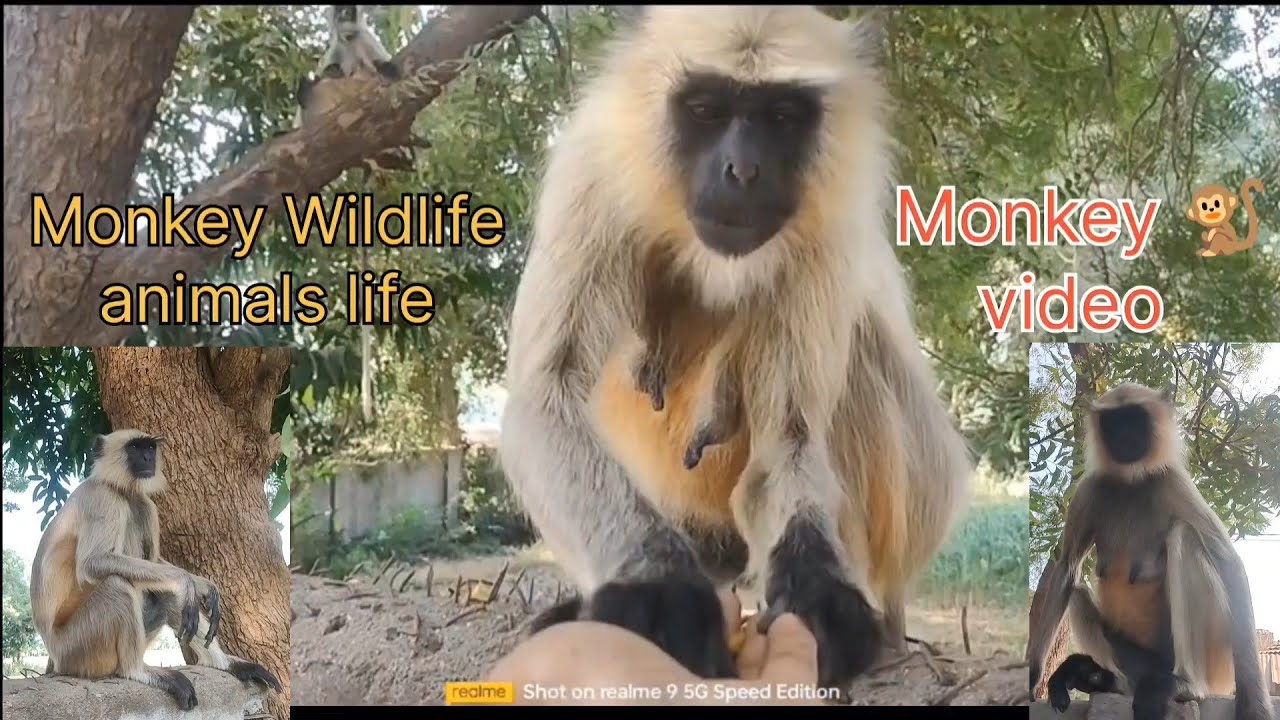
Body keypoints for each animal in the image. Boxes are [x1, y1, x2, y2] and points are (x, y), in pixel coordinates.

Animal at [30, 429, 283, 711]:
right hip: (77, 649)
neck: (122, 488)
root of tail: (54, 657)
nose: (147, 458)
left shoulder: (146, 505)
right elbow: (93, 562)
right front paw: (186, 581)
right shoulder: (102, 498)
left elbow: (156, 561)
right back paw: (137, 671)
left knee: (167, 595)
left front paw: (205, 587)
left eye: (150, 447)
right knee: (118, 585)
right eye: (134, 448)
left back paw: (226, 663)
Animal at [500, 6, 973, 695]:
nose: (743, 171)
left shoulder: (826, 222)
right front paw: (657, 587)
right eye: (706, 110)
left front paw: (820, 599)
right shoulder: (591, 171)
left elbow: (790, 436)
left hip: (918, 505)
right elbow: (544, 395)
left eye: (780, 116)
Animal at [1027, 383, 1273, 720]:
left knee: (1184, 536)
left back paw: (1186, 685)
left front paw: (1253, 703)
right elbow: (1066, 566)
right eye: (1114, 422)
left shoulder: (1173, 481)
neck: (1132, 480)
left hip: (1217, 656)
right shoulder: (1089, 489)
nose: (1124, 435)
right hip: (1138, 659)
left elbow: (1229, 561)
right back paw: (1107, 681)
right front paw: (1032, 678)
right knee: (1075, 590)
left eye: (1135, 418)